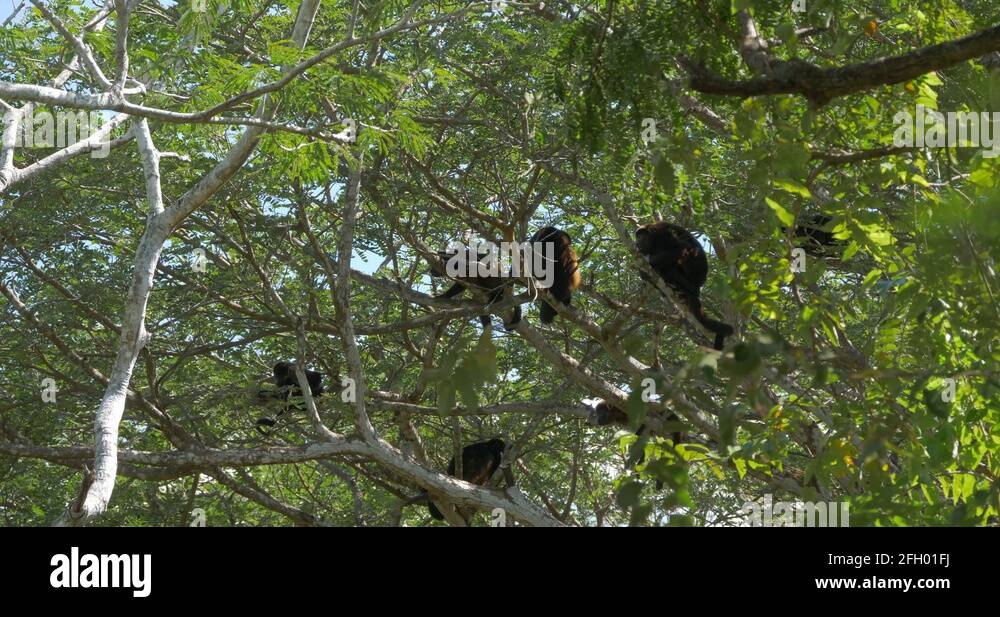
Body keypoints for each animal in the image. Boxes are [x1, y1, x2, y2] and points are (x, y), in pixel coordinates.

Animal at [635, 222, 733, 351]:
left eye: (641, 237)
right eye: (637, 238)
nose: (636, 243)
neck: (653, 237)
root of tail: (698, 286)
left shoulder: (663, 234)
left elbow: (681, 247)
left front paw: (650, 264)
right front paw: (644, 274)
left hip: (689, 279)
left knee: (681, 257)